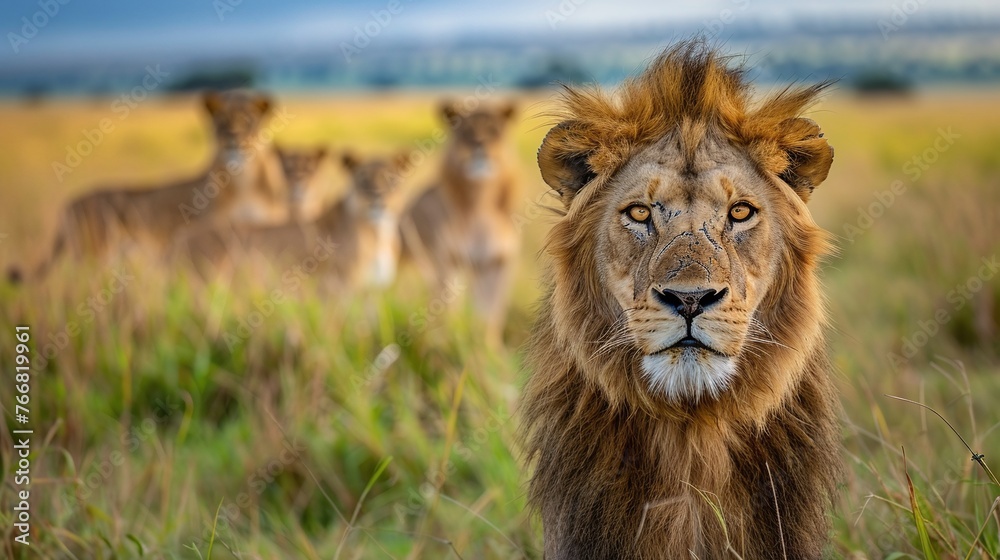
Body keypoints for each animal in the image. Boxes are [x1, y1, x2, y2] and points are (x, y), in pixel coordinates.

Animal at [9, 90, 287, 282]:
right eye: (221, 122)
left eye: (248, 121)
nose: (233, 139)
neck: (244, 179)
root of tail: (69, 202)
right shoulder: (211, 238)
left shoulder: (259, 235)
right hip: (94, 256)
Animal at [174, 151, 407, 289]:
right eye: (363, 181)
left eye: (391, 180)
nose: (378, 198)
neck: (377, 232)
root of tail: (177, 240)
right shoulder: (337, 290)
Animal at [398, 100, 519, 343]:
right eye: (466, 132)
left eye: (494, 131)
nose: (479, 144)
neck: (481, 203)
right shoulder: (447, 260)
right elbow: (448, 310)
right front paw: (451, 340)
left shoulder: (497, 264)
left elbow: (491, 313)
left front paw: (489, 348)